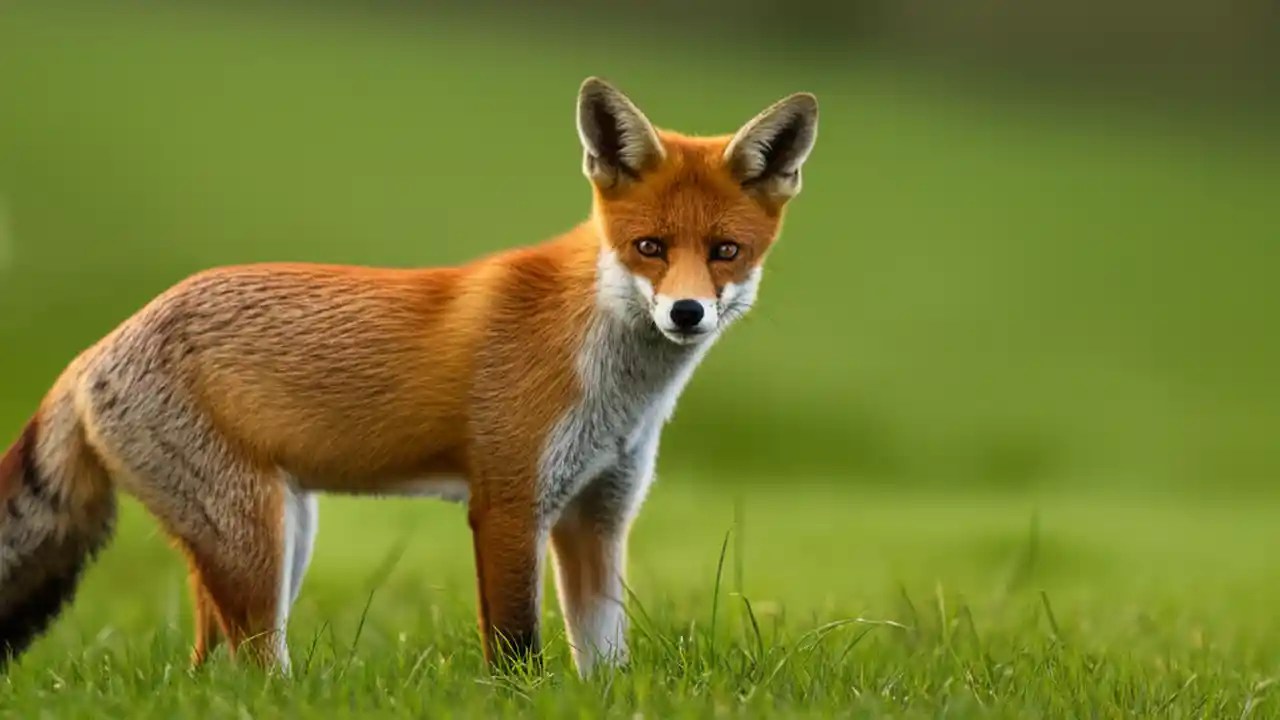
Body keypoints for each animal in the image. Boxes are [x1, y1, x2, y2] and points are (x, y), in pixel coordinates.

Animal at [0, 77, 818, 675]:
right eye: (650, 246)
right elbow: (516, 653)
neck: (618, 384)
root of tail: (95, 349)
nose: (686, 313)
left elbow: (603, 662)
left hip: (281, 535)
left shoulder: (600, 513)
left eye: (724, 251)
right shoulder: (508, 503)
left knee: (212, 671)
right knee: (254, 669)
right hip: (255, 544)